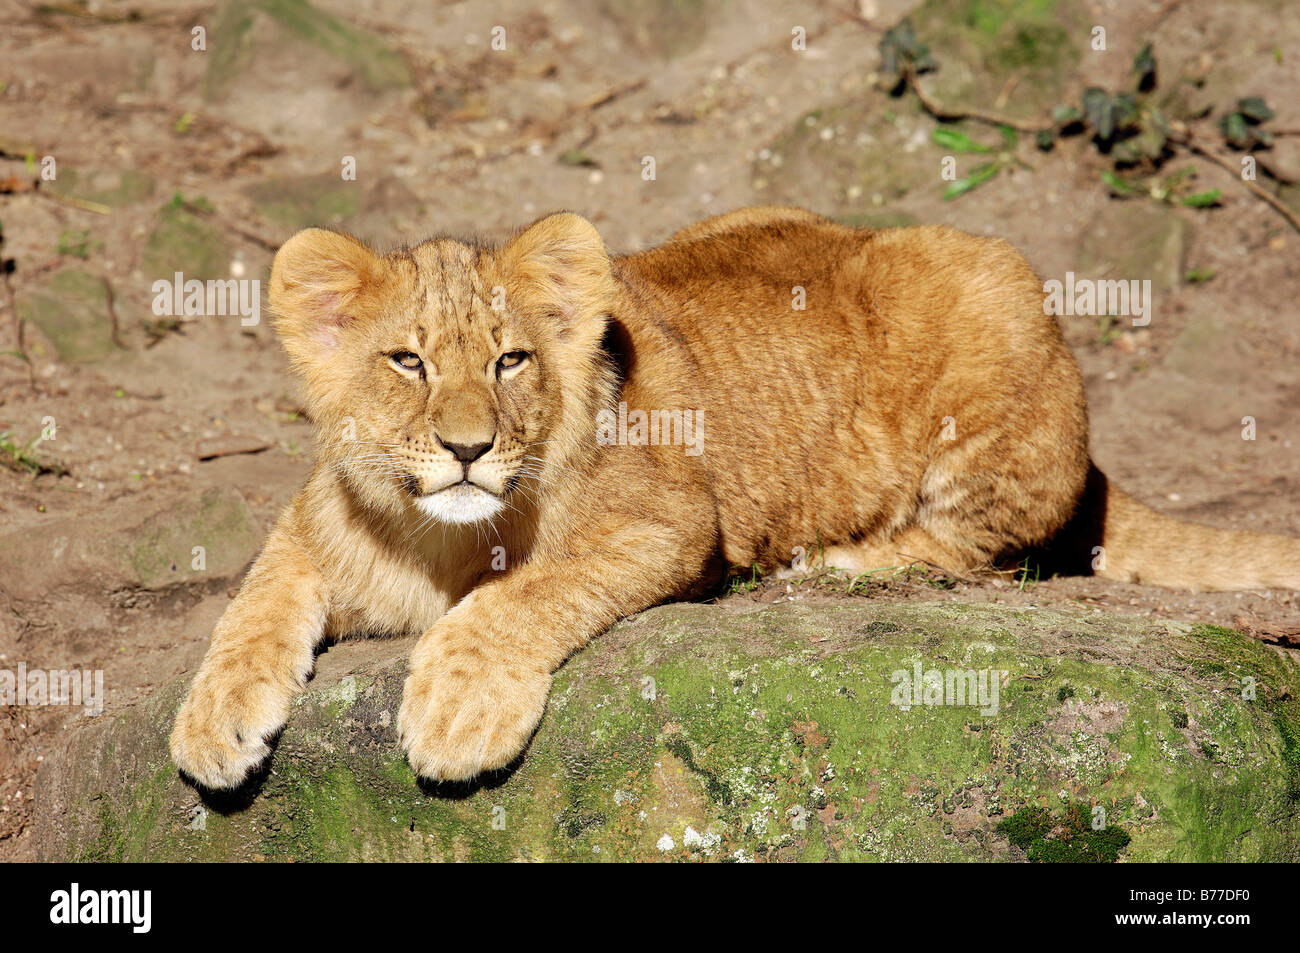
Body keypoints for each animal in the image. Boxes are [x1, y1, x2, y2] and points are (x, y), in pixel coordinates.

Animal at [169, 206, 1300, 789]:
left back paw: (840, 558)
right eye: (405, 360)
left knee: (985, 546)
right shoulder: (313, 523)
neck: (438, 537)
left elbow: (524, 594)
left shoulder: (670, 521)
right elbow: (252, 602)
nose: (466, 448)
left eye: (508, 360)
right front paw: (212, 723)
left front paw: (457, 704)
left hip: (993, 292)